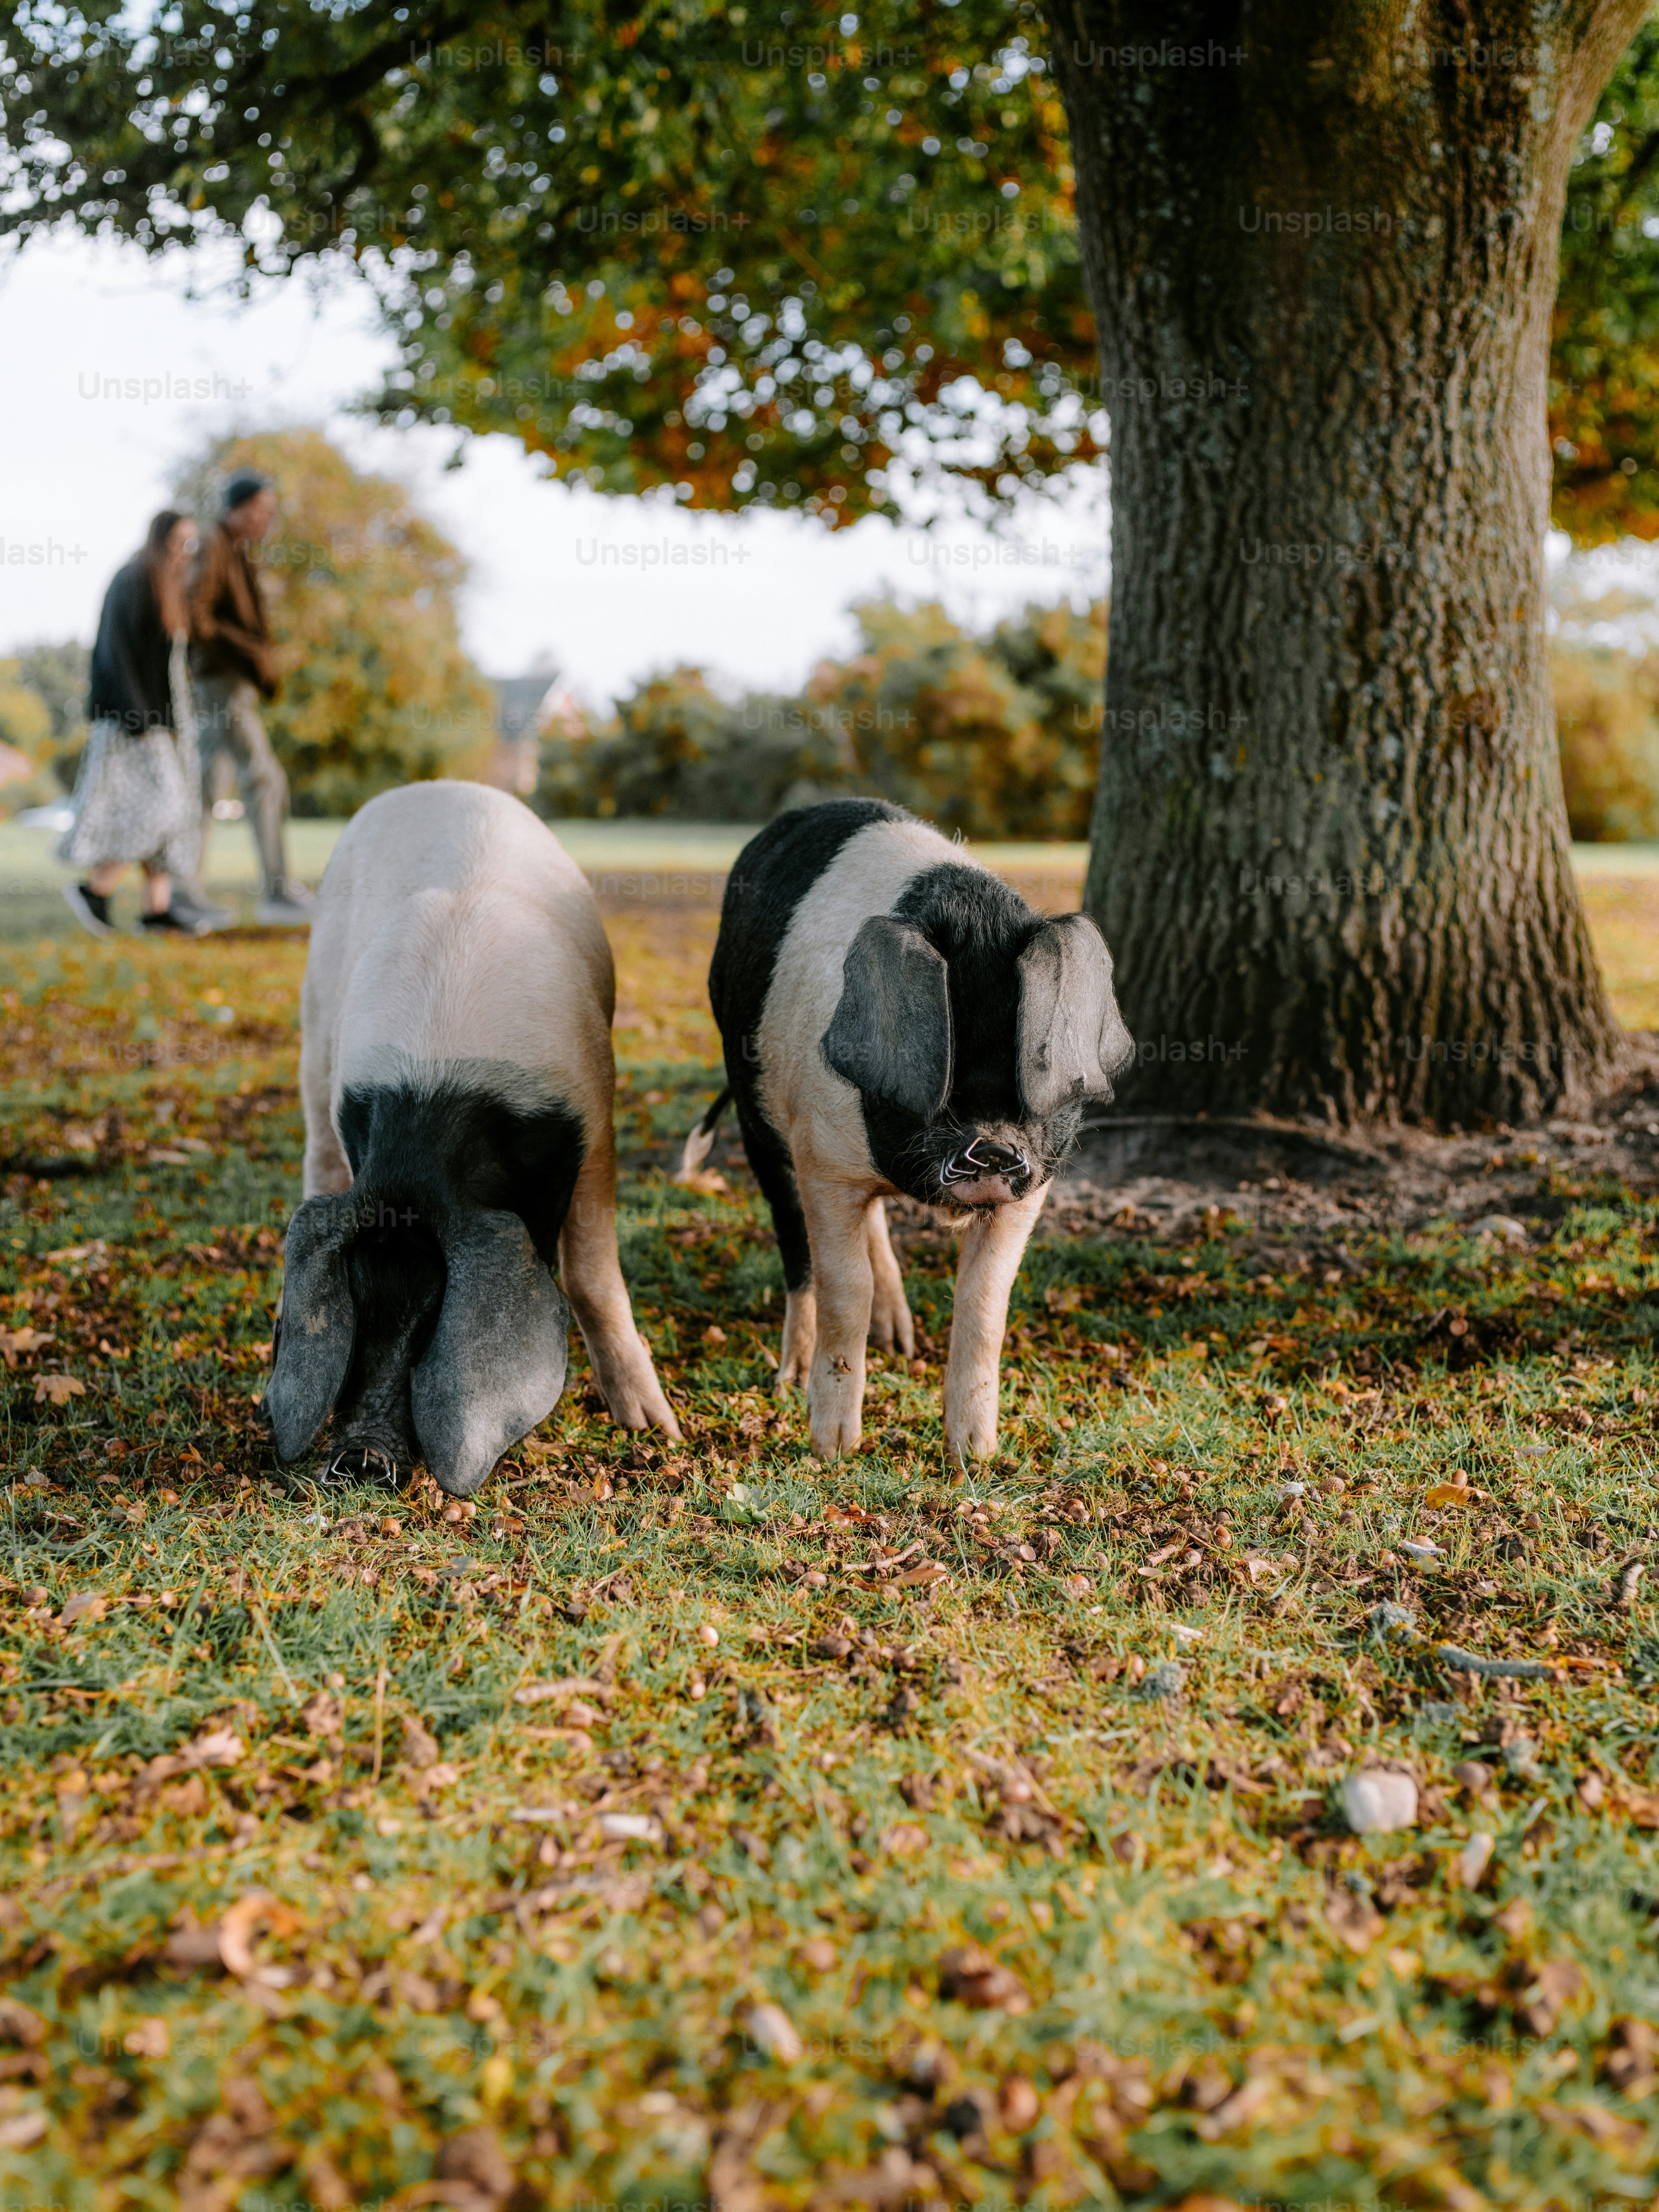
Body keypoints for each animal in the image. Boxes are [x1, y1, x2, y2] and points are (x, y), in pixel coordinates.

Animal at [265, 781, 679, 1494]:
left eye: (434, 1316)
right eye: (355, 1303)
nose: (360, 1459)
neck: (439, 1084)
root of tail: (435, 785)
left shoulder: (594, 1116)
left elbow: (592, 1278)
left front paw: (655, 1429)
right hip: (315, 1020)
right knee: (318, 1153)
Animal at [682, 798, 1132, 1459]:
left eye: (1032, 1060)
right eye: (943, 1068)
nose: (993, 1147)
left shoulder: (1036, 1183)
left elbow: (984, 1304)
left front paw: (974, 1456)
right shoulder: (823, 1161)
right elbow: (845, 1289)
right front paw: (833, 1449)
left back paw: (901, 1342)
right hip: (752, 1110)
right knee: (798, 1248)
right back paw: (791, 1376)